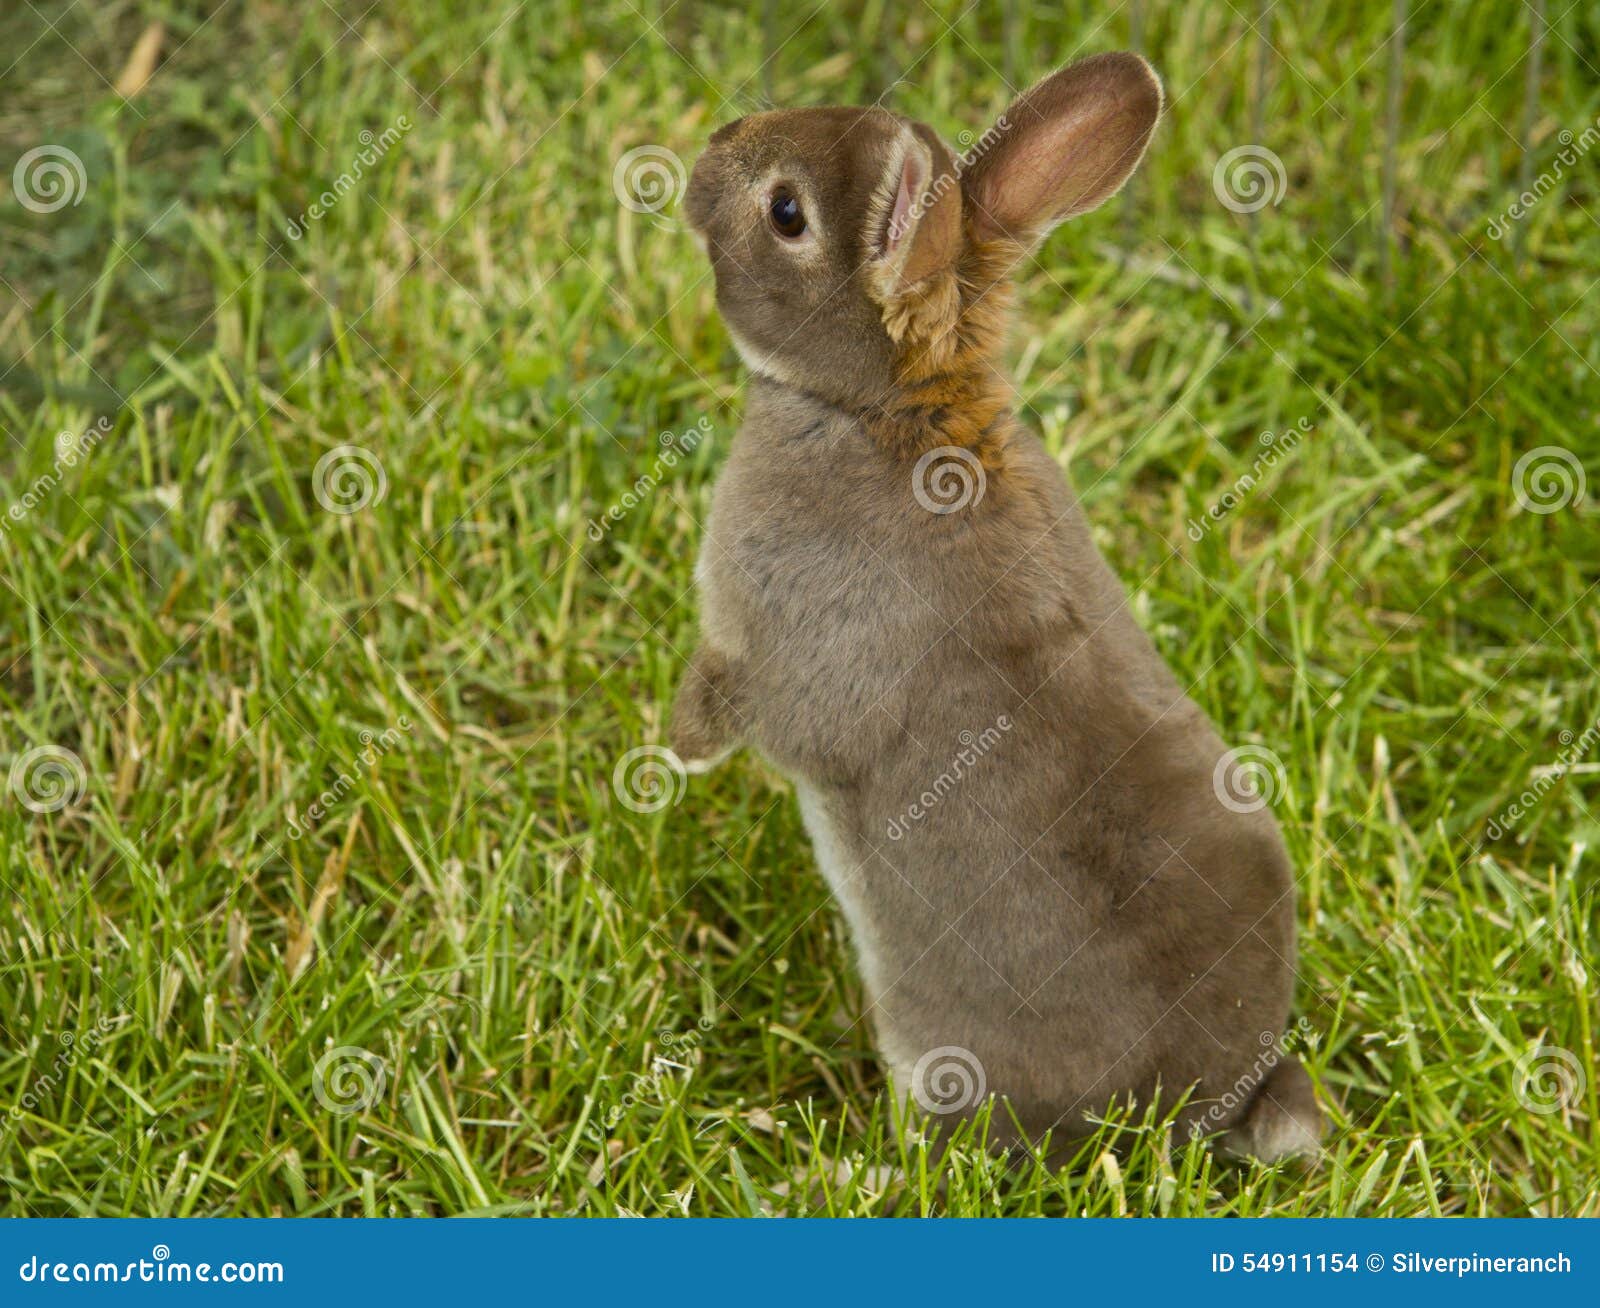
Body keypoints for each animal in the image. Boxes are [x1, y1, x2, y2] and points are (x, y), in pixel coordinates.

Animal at [669, 51, 1322, 1166]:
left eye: (786, 211)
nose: (712, 148)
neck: (889, 410)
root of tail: (1211, 1106)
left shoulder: (777, 654)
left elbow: (756, 711)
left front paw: (671, 750)